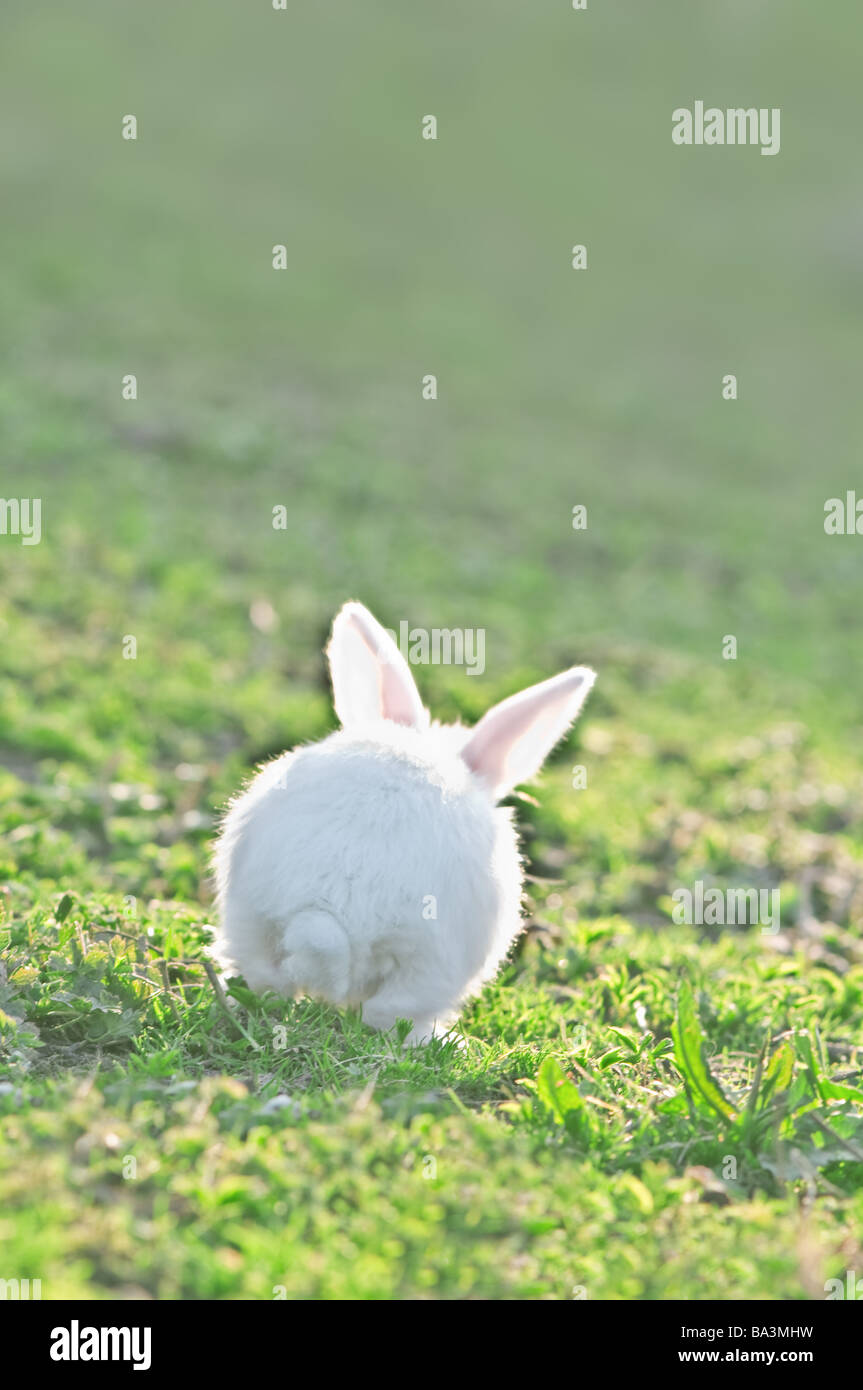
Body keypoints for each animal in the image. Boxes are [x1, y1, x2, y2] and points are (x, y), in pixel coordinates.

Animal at [212, 601, 596, 1044]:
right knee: (389, 1015)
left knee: (268, 984)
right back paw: (443, 1038)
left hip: (249, 918)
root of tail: (335, 907)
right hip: (431, 965)